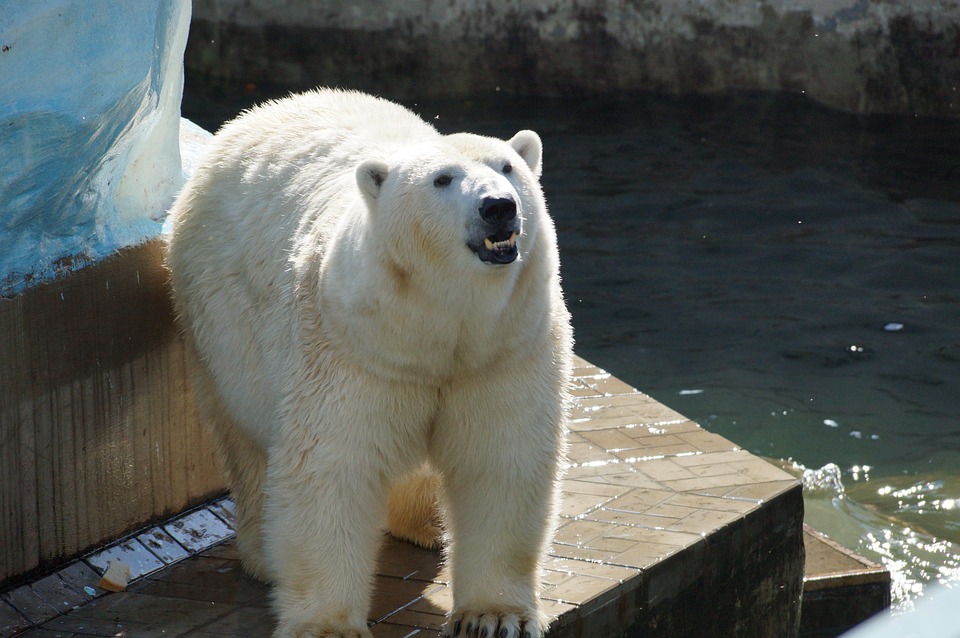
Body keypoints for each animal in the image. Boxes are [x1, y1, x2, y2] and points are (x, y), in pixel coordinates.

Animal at [165, 89, 573, 638]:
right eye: (442, 179)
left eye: (507, 167)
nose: (498, 207)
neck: (441, 320)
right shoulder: (352, 344)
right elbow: (333, 465)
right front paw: (328, 626)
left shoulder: (502, 350)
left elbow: (500, 457)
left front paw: (492, 616)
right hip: (221, 322)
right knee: (246, 439)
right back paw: (265, 555)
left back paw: (428, 525)